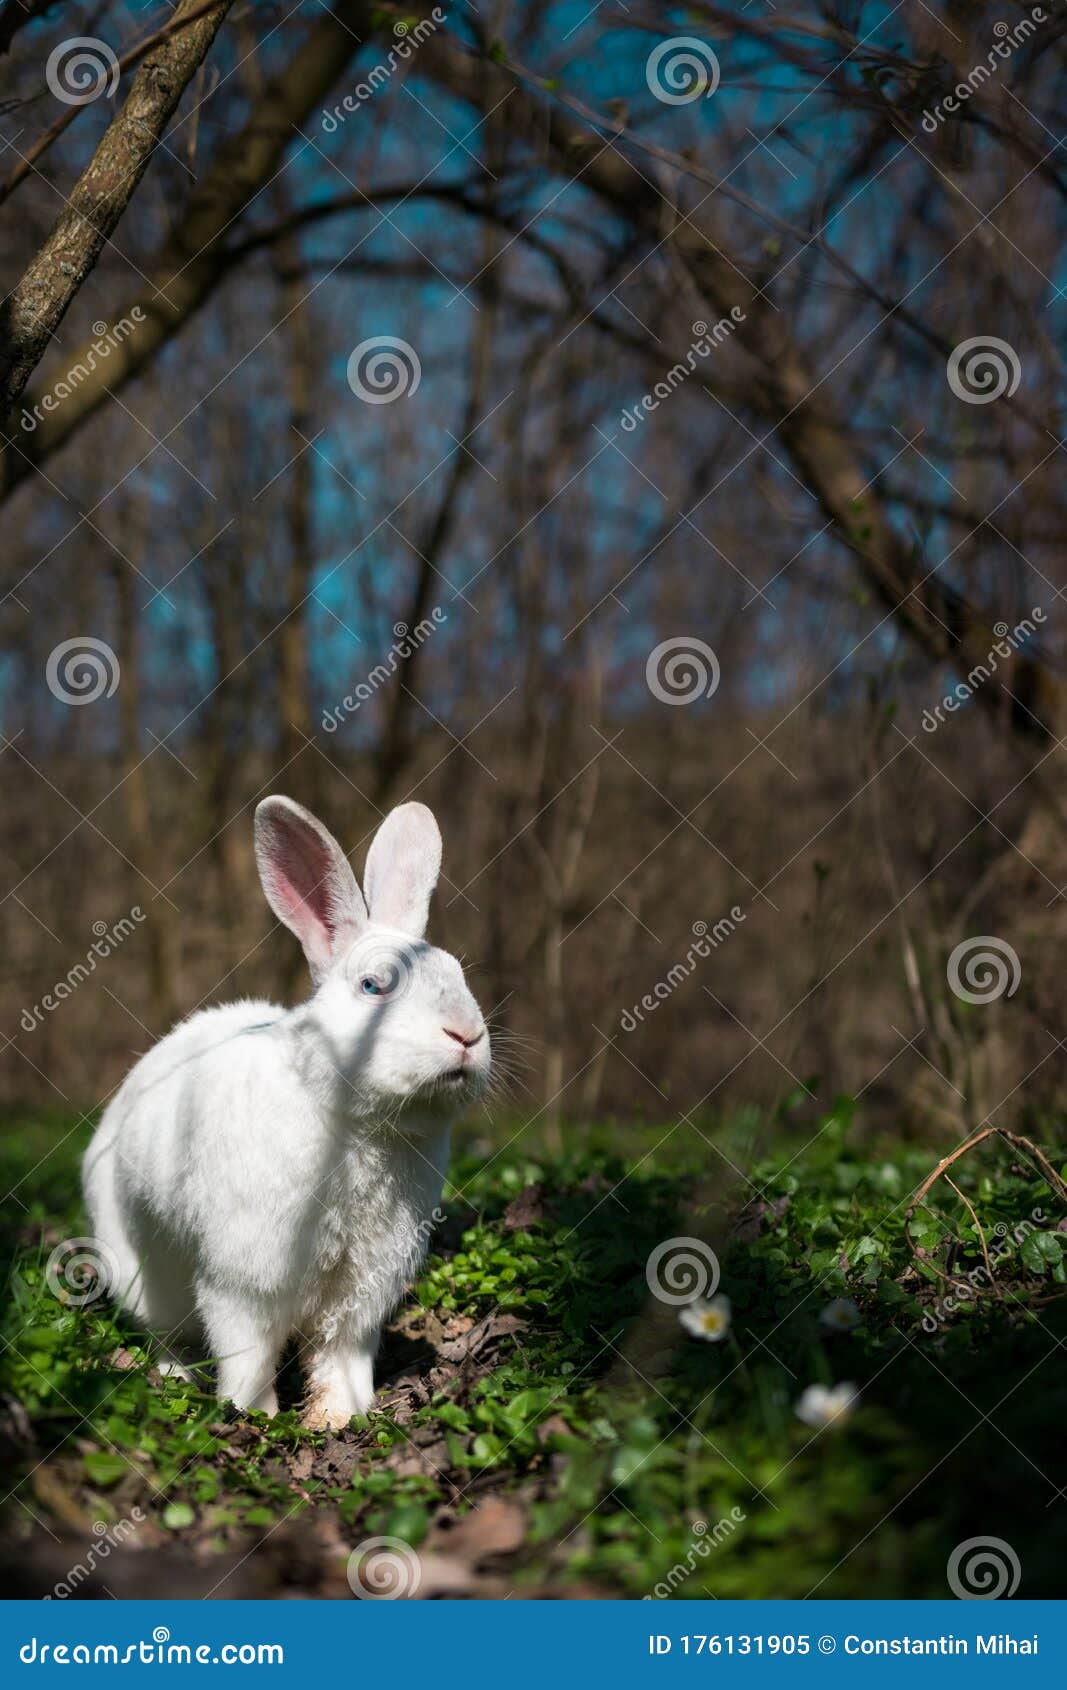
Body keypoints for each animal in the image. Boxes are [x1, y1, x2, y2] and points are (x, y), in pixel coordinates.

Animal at [83, 797, 490, 1430]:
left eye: (459, 975)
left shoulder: (362, 1291)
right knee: (169, 1333)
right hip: (146, 1271)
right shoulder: (245, 1282)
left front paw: (339, 1418)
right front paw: (257, 1415)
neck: (357, 1125)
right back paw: (179, 1377)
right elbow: (248, 1351)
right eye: (374, 985)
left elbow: (340, 1355)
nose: (466, 1035)